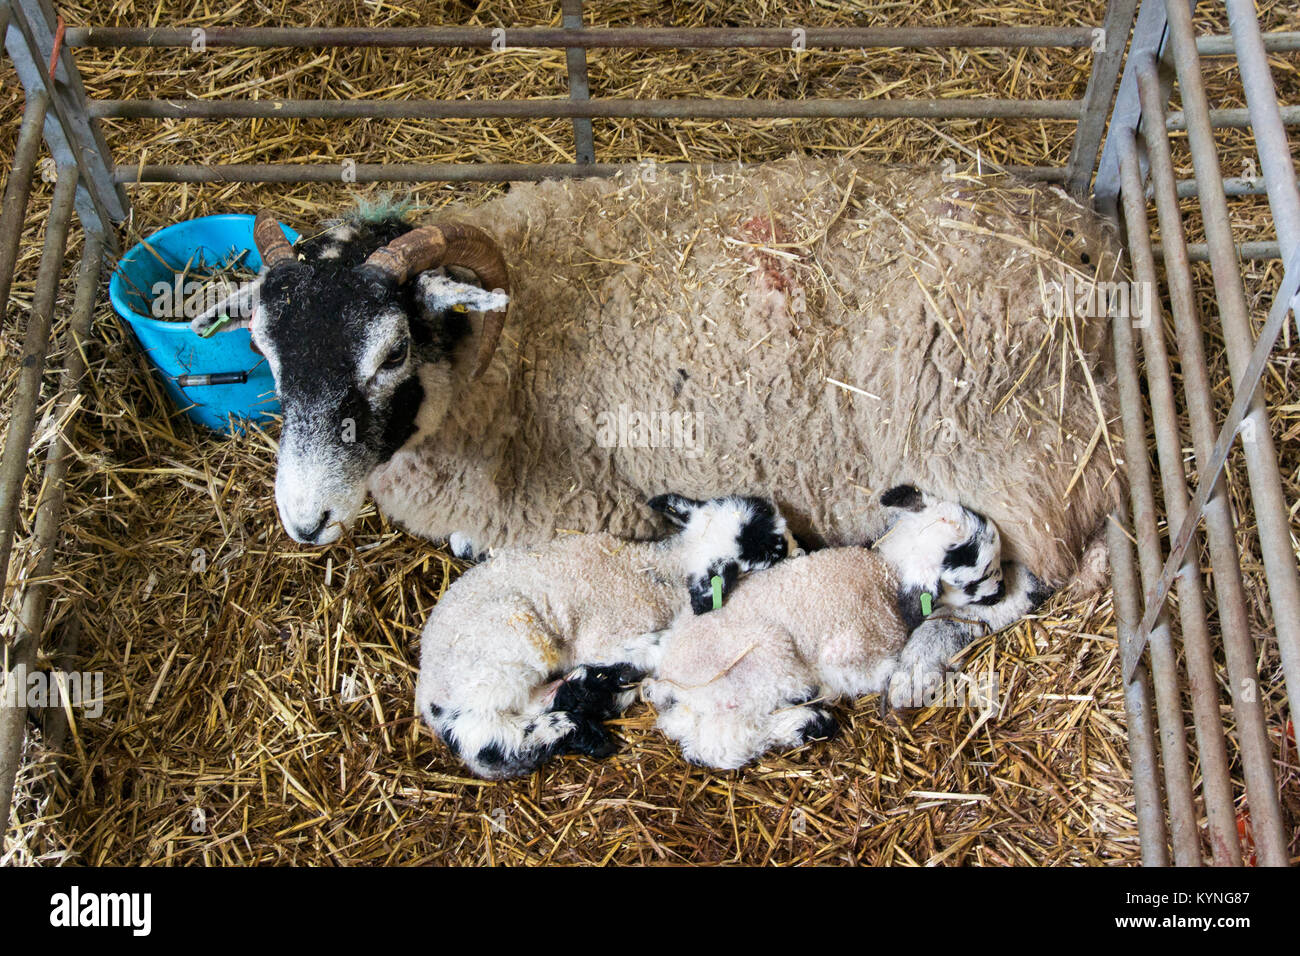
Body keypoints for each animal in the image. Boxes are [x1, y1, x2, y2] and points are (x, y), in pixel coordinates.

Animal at [194, 157, 1123, 591]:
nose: (304, 520)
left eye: (391, 355)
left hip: (1023, 459)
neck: (504, 357)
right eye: (264, 349)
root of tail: (1089, 247)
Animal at [413, 494, 794, 780]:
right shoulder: (602, 635)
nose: (800, 549)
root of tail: (430, 699)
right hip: (510, 649)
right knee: (485, 737)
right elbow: (652, 646)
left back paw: (589, 695)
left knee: (531, 705)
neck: (659, 570)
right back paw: (579, 727)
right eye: (771, 552)